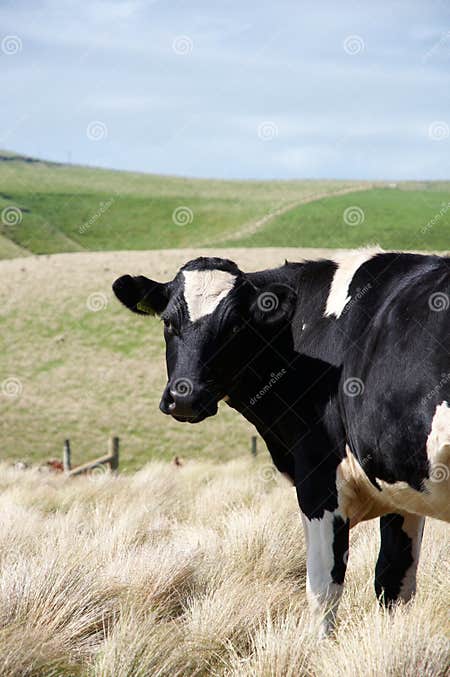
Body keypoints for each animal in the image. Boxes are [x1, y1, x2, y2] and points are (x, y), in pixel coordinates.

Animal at [113, 248, 450, 636]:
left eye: (235, 326)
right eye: (168, 322)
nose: (185, 396)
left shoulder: (319, 481)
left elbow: (323, 591)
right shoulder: (398, 485)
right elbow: (393, 584)